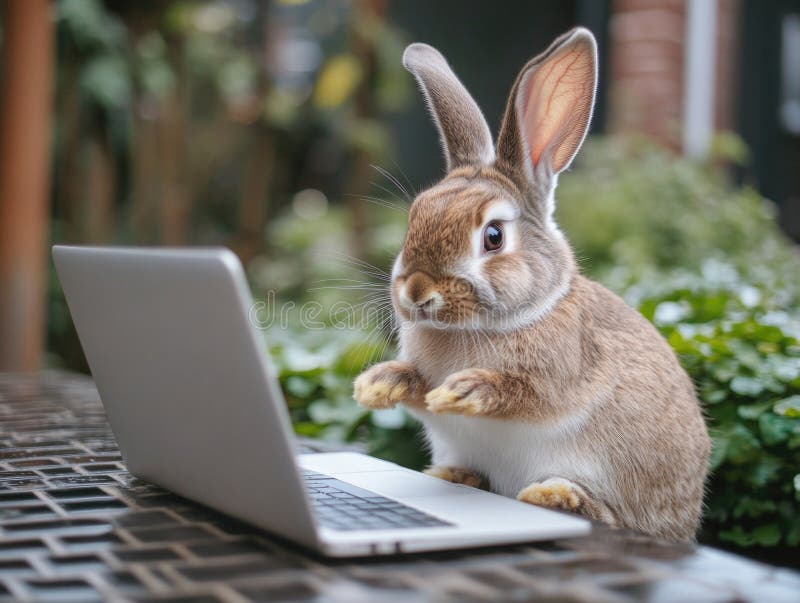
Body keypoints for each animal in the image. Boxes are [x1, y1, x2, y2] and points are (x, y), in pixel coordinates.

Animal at [353, 27, 710, 542]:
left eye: (493, 237)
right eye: (414, 217)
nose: (417, 293)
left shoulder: (561, 379)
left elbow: (523, 394)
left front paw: (462, 392)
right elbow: (418, 387)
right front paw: (378, 385)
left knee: (612, 518)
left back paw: (555, 496)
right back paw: (457, 474)